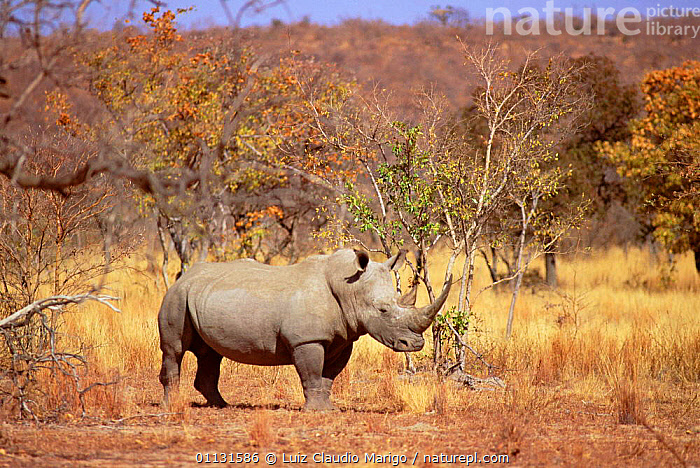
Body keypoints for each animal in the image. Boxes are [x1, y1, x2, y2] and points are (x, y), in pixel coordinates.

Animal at [157, 248, 451, 411]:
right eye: (383, 311)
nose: (415, 345)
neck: (349, 288)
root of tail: (184, 275)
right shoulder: (307, 340)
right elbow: (311, 373)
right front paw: (315, 411)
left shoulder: (343, 338)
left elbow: (328, 377)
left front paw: (327, 409)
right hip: (176, 296)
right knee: (175, 350)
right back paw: (172, 405)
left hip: (202, 296)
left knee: (210, 354)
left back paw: (221, 405)